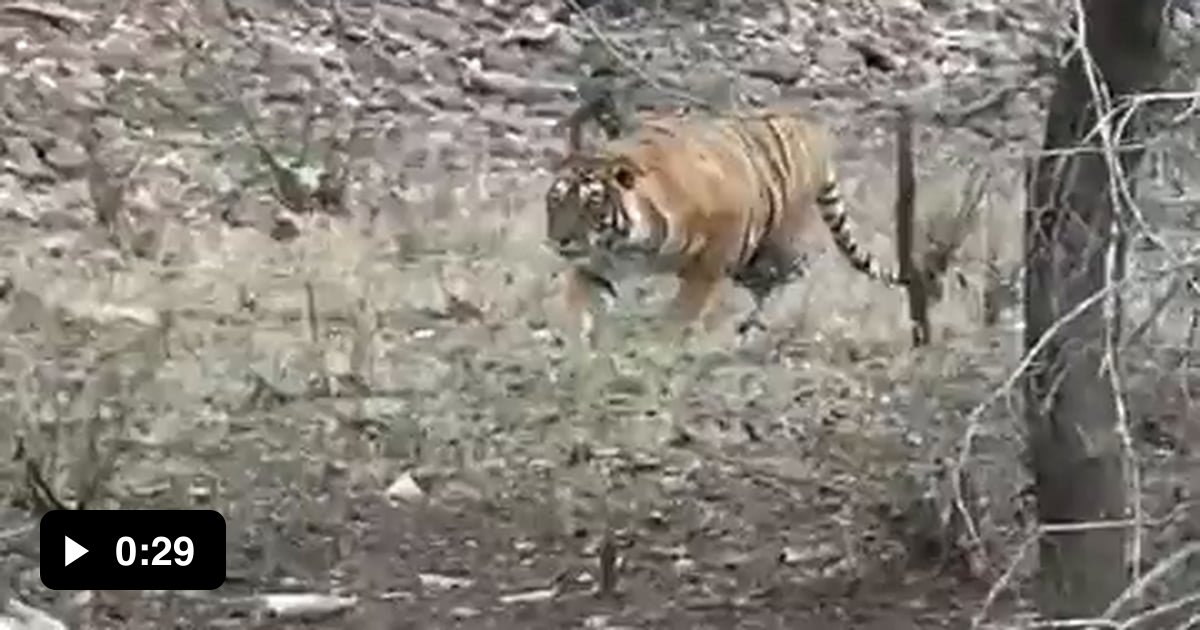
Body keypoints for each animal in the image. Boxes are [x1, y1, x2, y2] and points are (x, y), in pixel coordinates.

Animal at [544, 108, 909, 347]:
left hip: (770, 247)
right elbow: (580, 307)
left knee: (794, 274)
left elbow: (682, 313)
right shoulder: (594, 266)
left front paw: (660, 349)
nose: (560, 241)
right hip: (749, 261)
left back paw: (762, 326)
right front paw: (577, 352)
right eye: (555, 201)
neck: (626, 244)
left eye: (592, 204)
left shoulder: (709, 263)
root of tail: (809, 128)